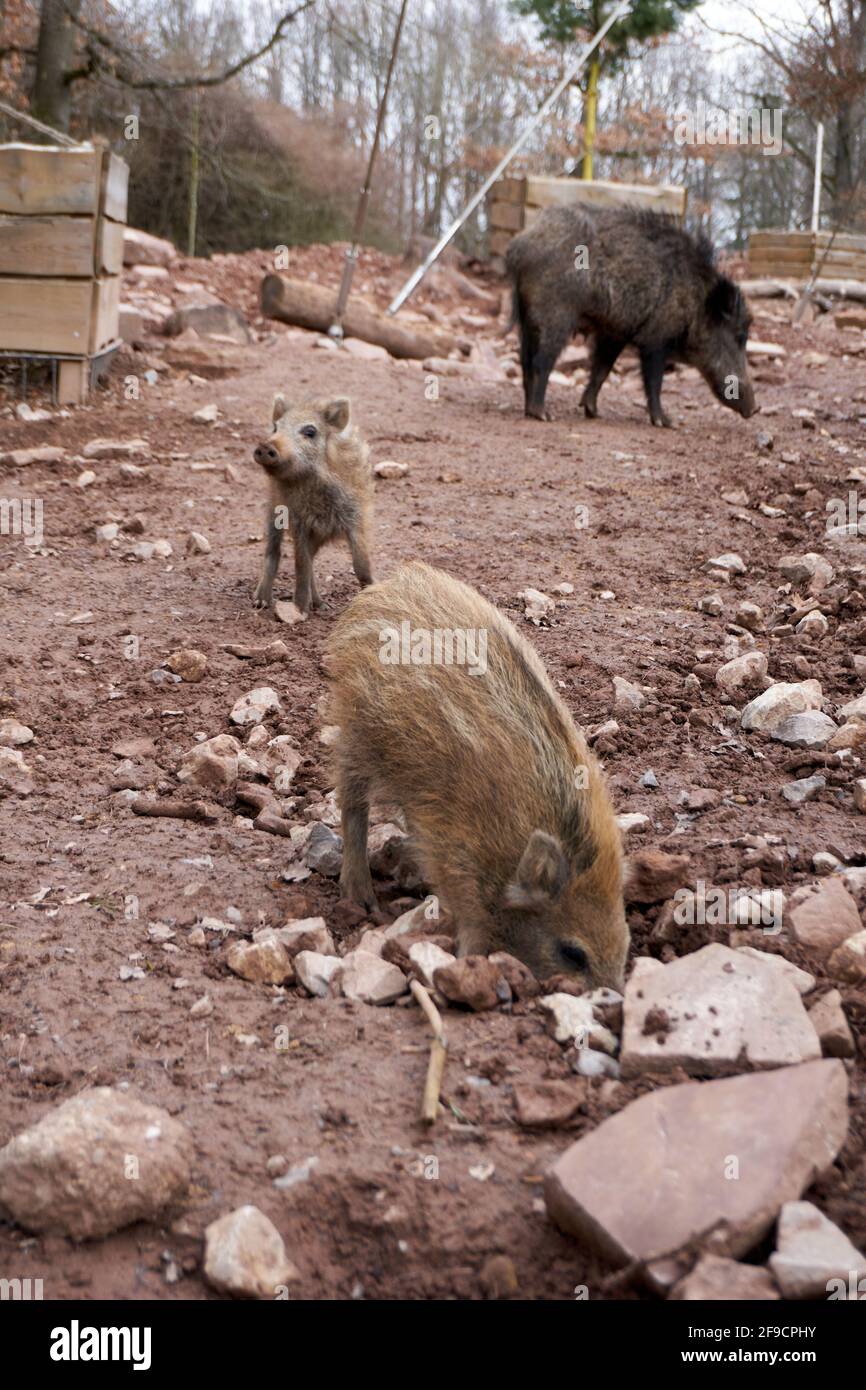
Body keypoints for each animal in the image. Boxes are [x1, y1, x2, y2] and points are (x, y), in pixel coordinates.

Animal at [252, 394, 373, 614]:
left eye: (310, 431)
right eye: (275, 427)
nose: (266, 446)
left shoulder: (355, 518)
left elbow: (361, 566)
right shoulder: (297, 521)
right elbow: (301, 565)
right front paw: (299, 610)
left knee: (310, 561)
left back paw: (320, 605)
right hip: (274, 511)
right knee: (274, 551)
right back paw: (261, 601)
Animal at [325, 561, 629, 989]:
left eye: (626, 943)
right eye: (573, 953)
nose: (615, 996)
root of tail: (392, 583)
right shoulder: (458, 859)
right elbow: (471, 924)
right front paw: (465, 963)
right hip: (357, 732)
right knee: (352, 803)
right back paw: (361, 896)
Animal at [506, 205, 756, 427]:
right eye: (740, 336)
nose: (756, 408)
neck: (696, 303)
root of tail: (520, 246)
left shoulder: (615, 334)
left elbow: (602, 369)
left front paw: (593, 413)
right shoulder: (656, 338)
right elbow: (654, 381)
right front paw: (666, 423)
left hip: (528, 319)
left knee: (525, 360)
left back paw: (529, 411)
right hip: (555, 315)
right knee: (542, 361)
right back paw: (544, 414)